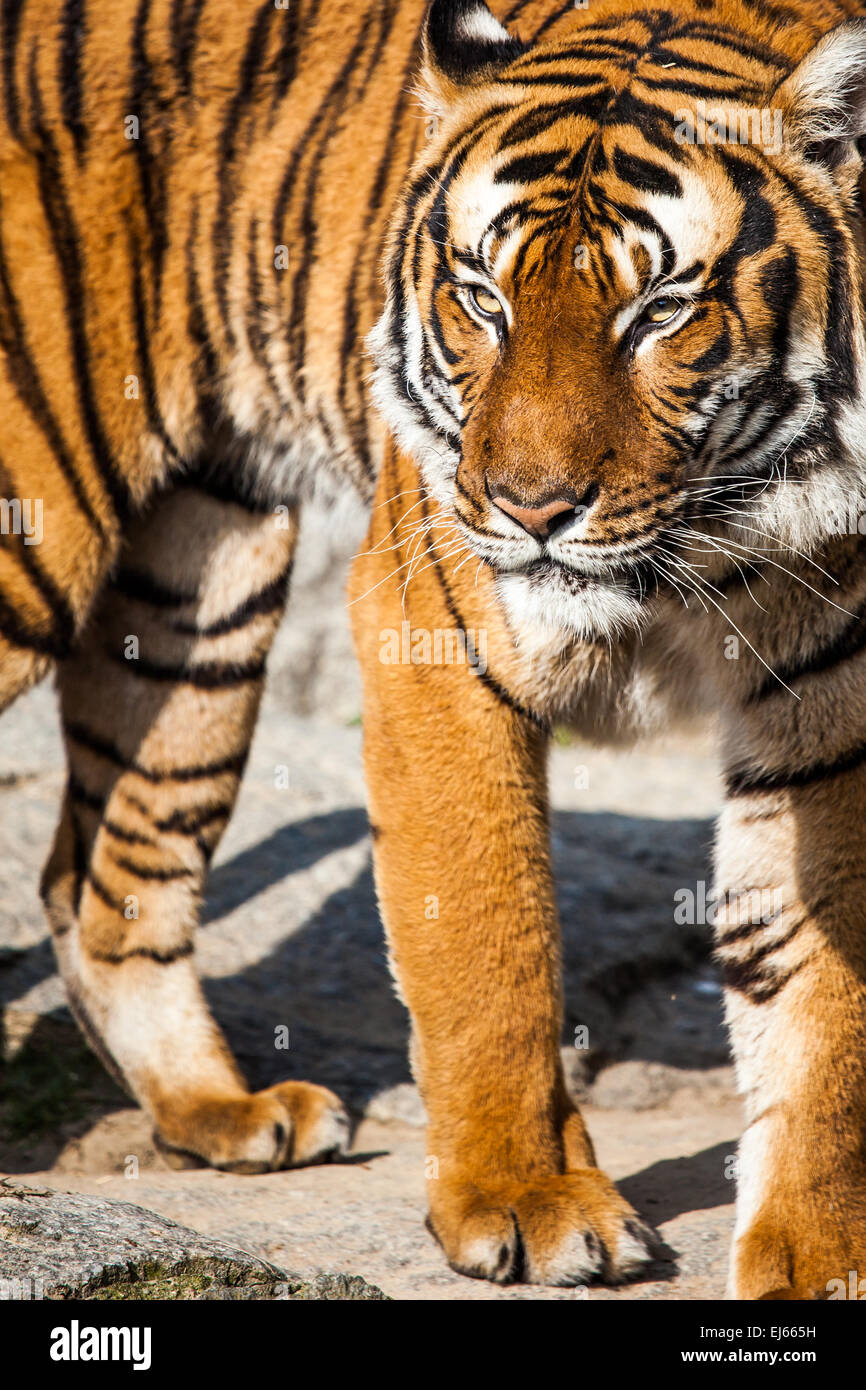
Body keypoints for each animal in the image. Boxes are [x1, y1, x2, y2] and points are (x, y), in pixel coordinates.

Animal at [0, 0, 863, 1302]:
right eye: (481, 299)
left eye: (659, 312)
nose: (527, 507)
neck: (718, 536)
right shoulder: (434, 637)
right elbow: (484, 942)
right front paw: (528, 1200)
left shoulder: (836, 698)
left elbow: (818, 998)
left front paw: (813, 1253)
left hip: (201, 586)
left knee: (104, 869)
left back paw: (222, 1109)